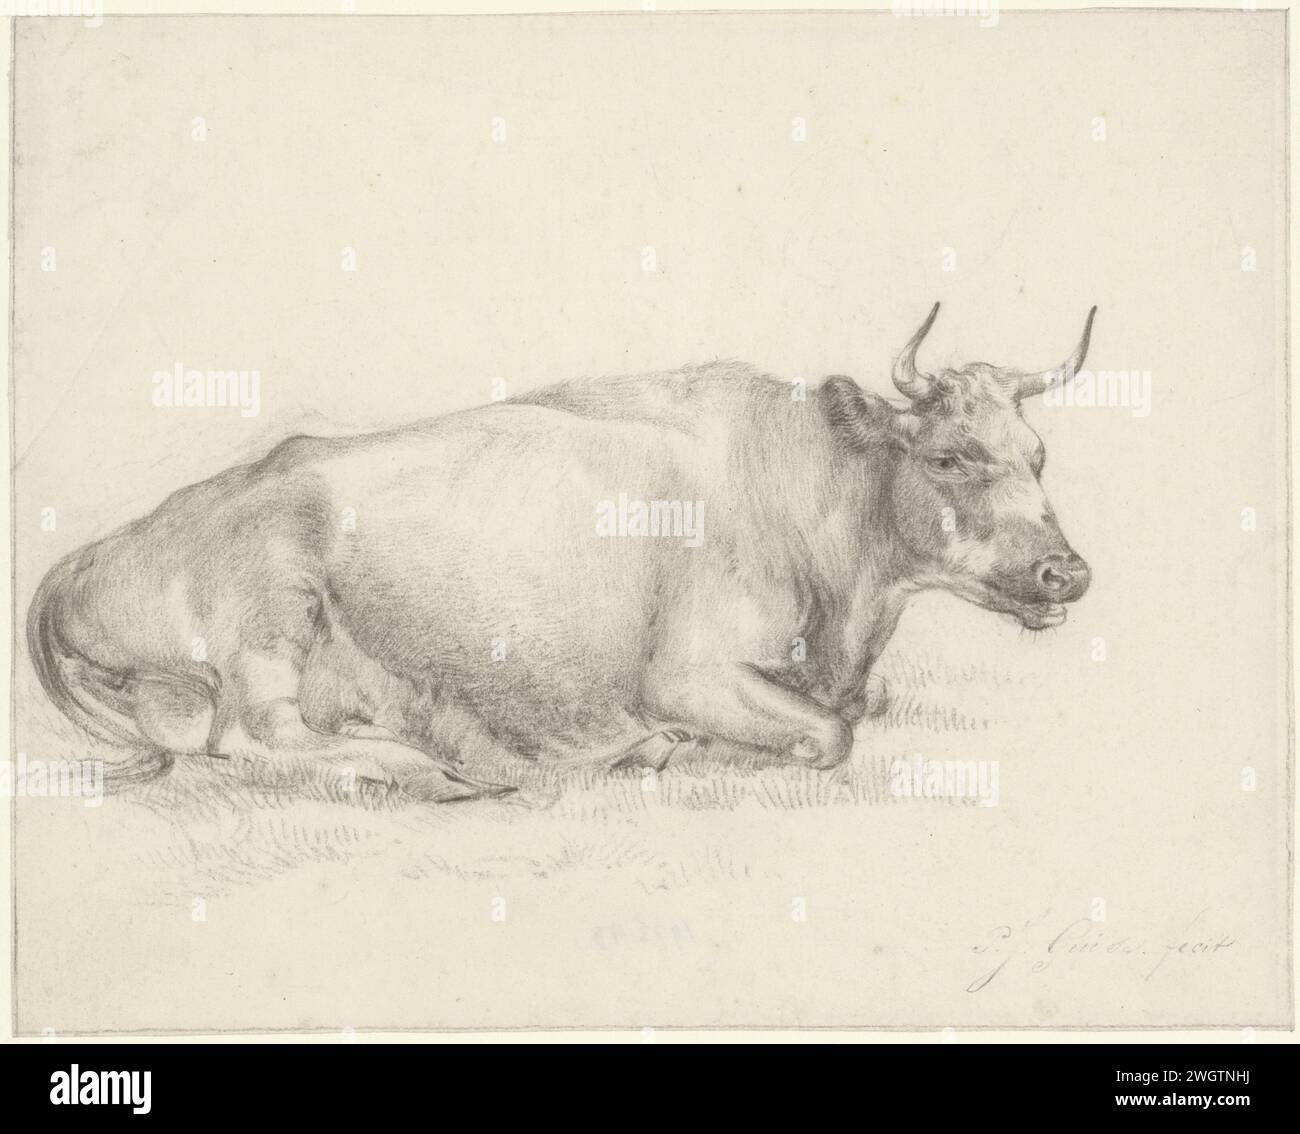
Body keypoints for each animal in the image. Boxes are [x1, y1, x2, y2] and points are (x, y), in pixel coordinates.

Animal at [26, 304, 1095, 800]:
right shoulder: (687, 674)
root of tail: (80, 563)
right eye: (949, 455)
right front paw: (654, 748)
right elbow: (829, 734)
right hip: (271, 613)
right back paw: (434, 770)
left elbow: (845, 716)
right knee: (252, 738)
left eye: (1039, 454)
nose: (1067, 571)